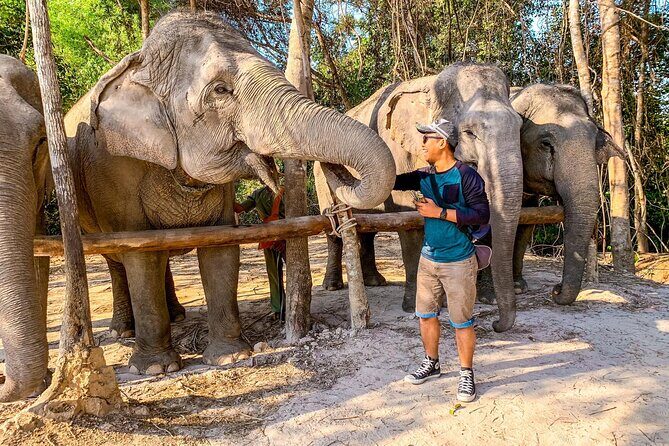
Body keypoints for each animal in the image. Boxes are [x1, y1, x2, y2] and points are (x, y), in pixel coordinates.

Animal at [63, 11, 395, 375]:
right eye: (220, 90)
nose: (333, 171)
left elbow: (221, 245)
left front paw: (231, 356)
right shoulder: (115, 170)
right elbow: (140, 253)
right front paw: (155, 368)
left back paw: (176, 315)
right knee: (118, 260)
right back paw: (124, 330)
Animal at [315, 62, 524, 332]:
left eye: (520, 127)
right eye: (469, 132)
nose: (497, 324)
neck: (431, 83)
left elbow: (481, 215)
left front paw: (486, 299)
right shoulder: (396, 150)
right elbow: (408, 222)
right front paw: (414, 306)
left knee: (367, 229)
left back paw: (375, 281)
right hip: (321, 185)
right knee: (334, 230)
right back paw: (333, 285)